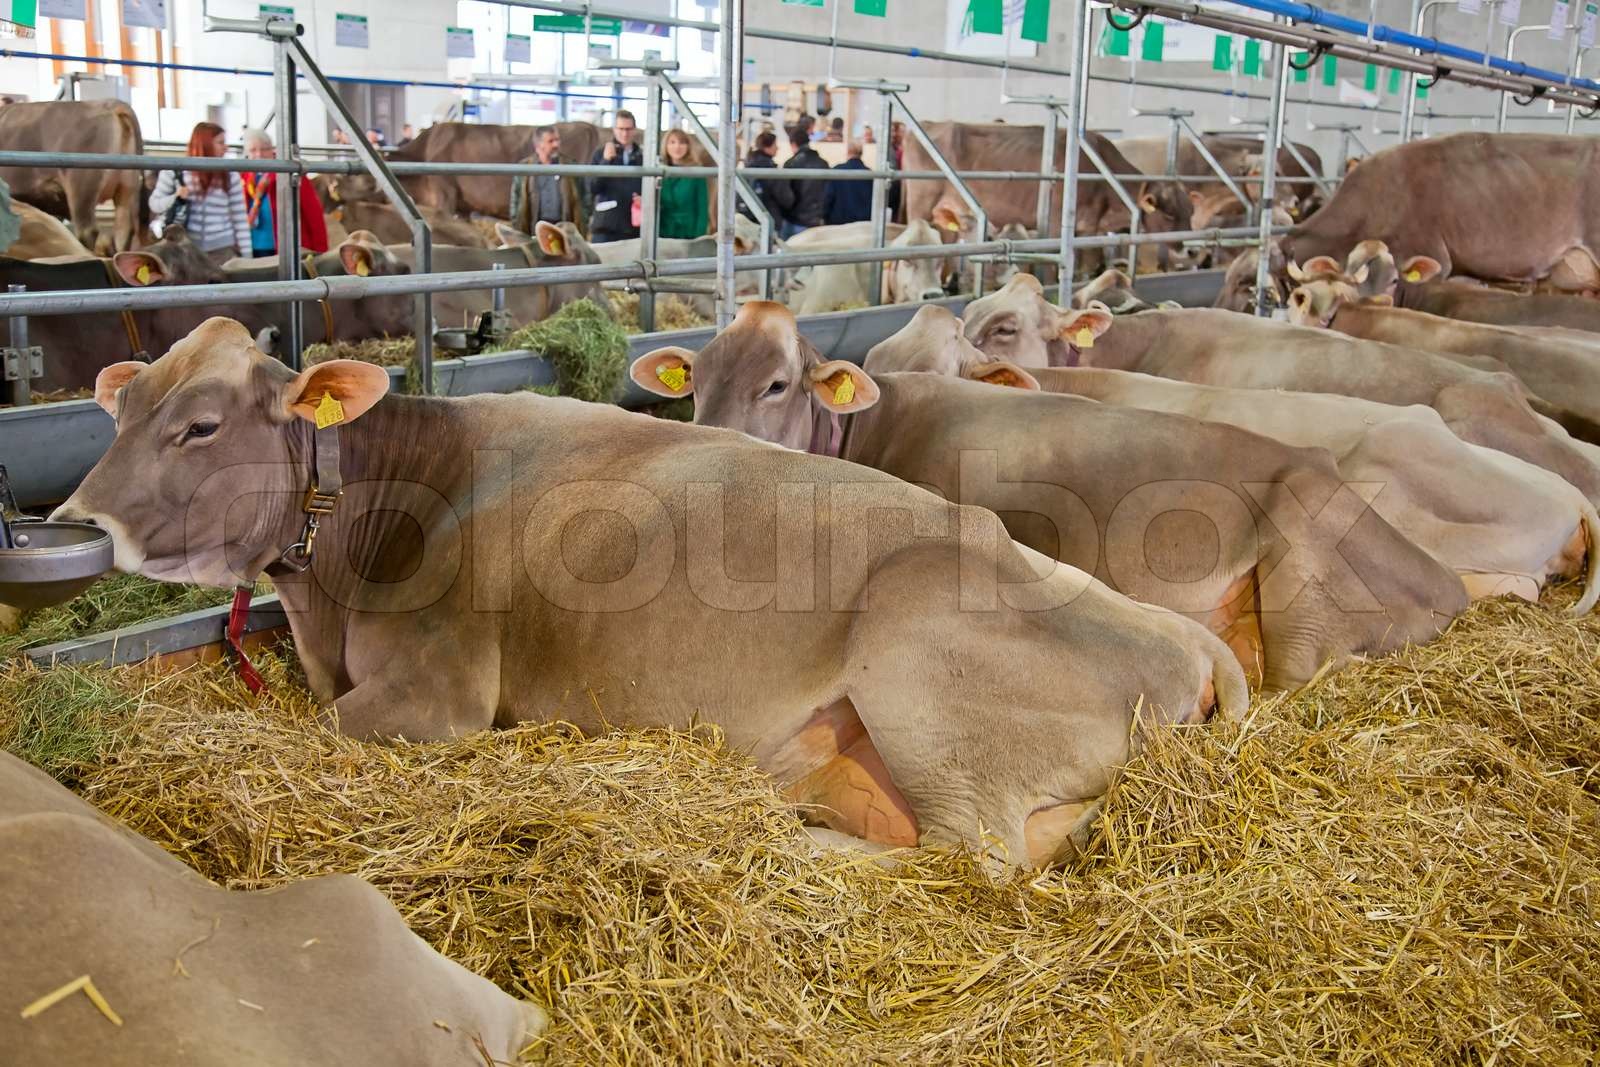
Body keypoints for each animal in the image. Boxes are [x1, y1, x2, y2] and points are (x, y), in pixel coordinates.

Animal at [52, 316, 1247, 867]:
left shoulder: (441, 690)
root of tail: (1185, 641)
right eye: (122, 409)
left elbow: (330, 732)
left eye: (201, 423)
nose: (78, 519)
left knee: (971, 855)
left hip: (919, 669)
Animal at [902, 124, 1195, 273]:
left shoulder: (1089, 230)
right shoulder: (1056, 225)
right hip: (920, 204)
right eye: (1169, 214)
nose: (1190, 250)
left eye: (1191, 212)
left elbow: (1091, 267)